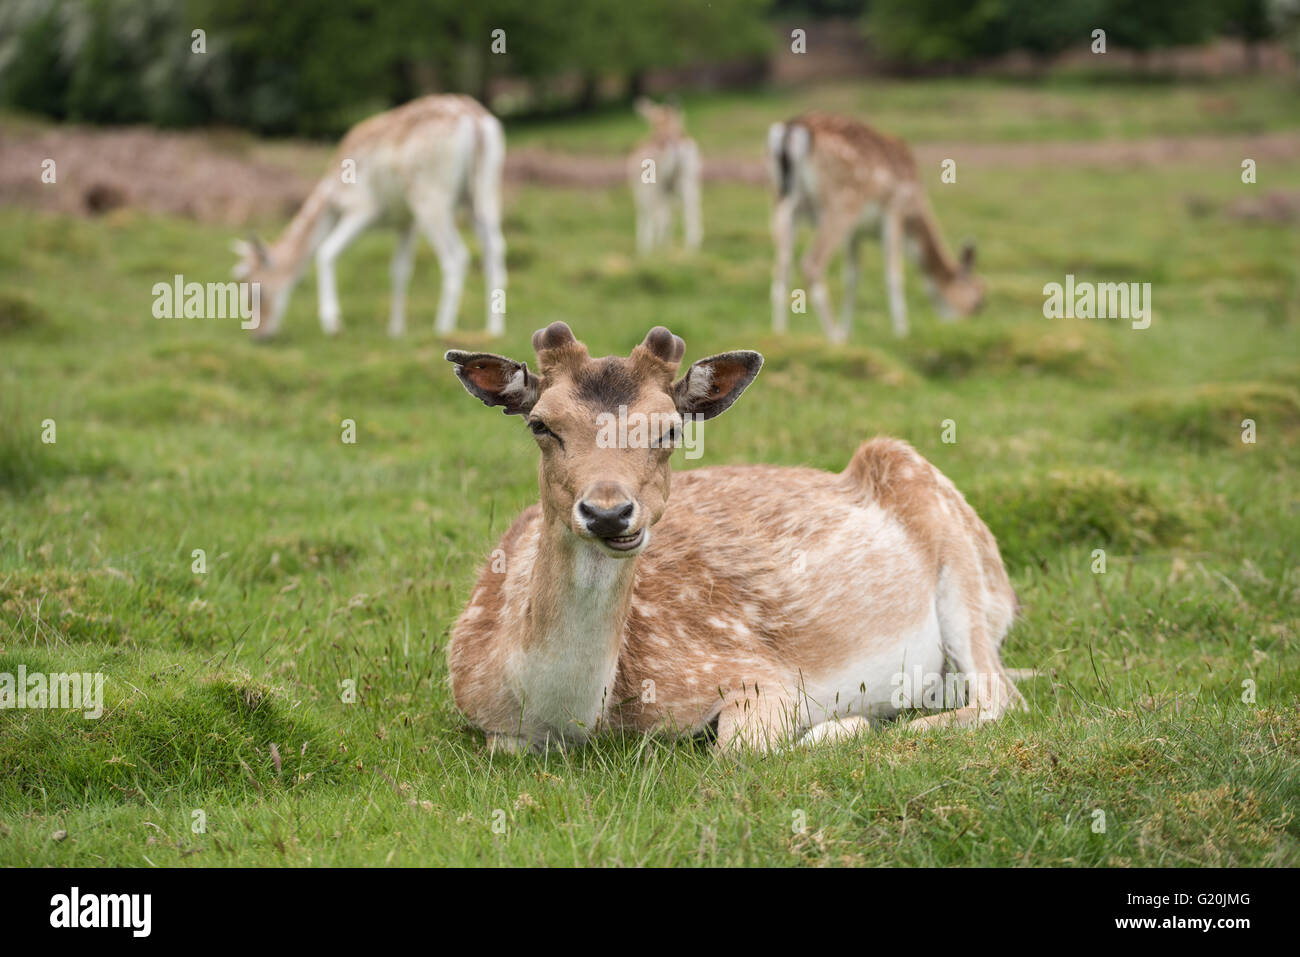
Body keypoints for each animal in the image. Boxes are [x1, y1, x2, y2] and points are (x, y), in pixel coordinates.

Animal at [232, 94, 506, 340]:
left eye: (256, 292)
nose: (258, 336)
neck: (331, 195)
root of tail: (474, 120)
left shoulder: (363, 207)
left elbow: (326, 251)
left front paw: (333, 324)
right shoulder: (405, 221)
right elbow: (399, 270)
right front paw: (395, 331)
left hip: (431, 196)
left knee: (457, 255)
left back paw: (443, 328)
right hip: (483, 192)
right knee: (494, 248)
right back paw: (493, 329)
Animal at [444, 322, 1024, 754]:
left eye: (671, 429)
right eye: (541, 424)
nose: (608, 513)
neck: (580, 717)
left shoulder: (751, 671)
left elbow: (741, 749)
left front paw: (843, 724)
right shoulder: (487, 720)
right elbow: (501, 746)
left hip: (962, 569)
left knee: (1001, 694)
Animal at [627, 98, 702, 255]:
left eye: (655, 119)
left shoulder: (641, 187)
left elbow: (646, 211)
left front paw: (644, 248)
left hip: (658, 180)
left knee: (657, 212)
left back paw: (654, 247)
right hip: (688, 176)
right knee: (691, 207)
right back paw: (691, 246)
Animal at [767, 112, 984, 342]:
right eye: (978, 303)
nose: (966, 328)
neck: (915, 208)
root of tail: (792, 129)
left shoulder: (855, 233)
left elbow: (852, 277)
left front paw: (848, 328)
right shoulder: (894, 210)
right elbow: (894, 273)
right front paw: (901, 330)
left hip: (780, 196)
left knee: (782, 265)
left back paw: (780, 333)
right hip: (843, 202)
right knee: (811, 263)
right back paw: (834, 336)